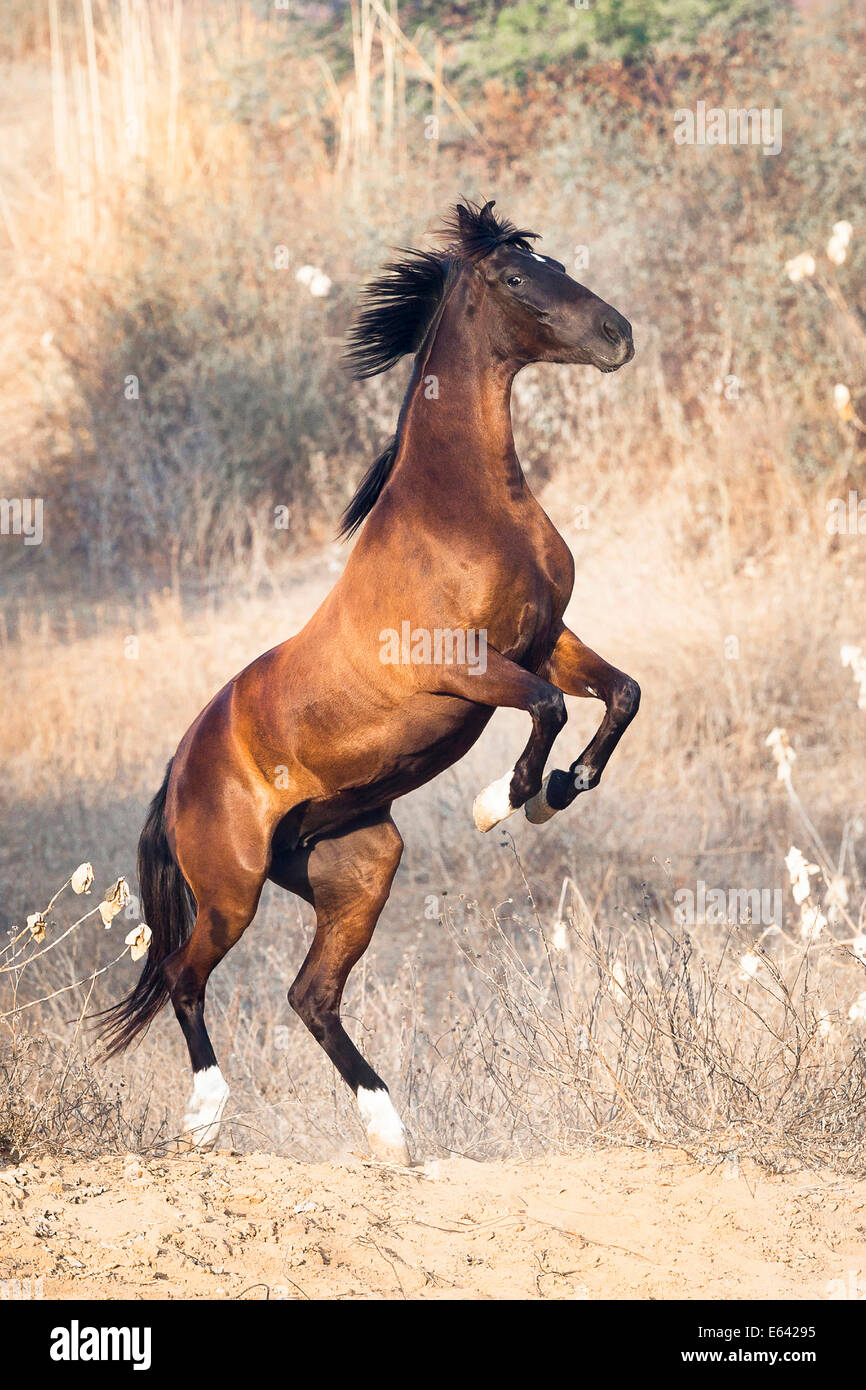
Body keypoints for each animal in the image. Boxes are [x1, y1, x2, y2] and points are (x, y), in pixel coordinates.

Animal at [98, 199, 640, 1165]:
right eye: (515, 277)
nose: (618, 335)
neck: (464, 510)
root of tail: (176, 774)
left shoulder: (549, 640)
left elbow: (620, 695)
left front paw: (556, 794)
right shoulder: (467, 670)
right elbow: (546, 711)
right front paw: (504, 801)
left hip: (357, 868)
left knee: (310, 995)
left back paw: (390, 1131)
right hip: (231, 893)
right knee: (186, 978)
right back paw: (205, 1116)